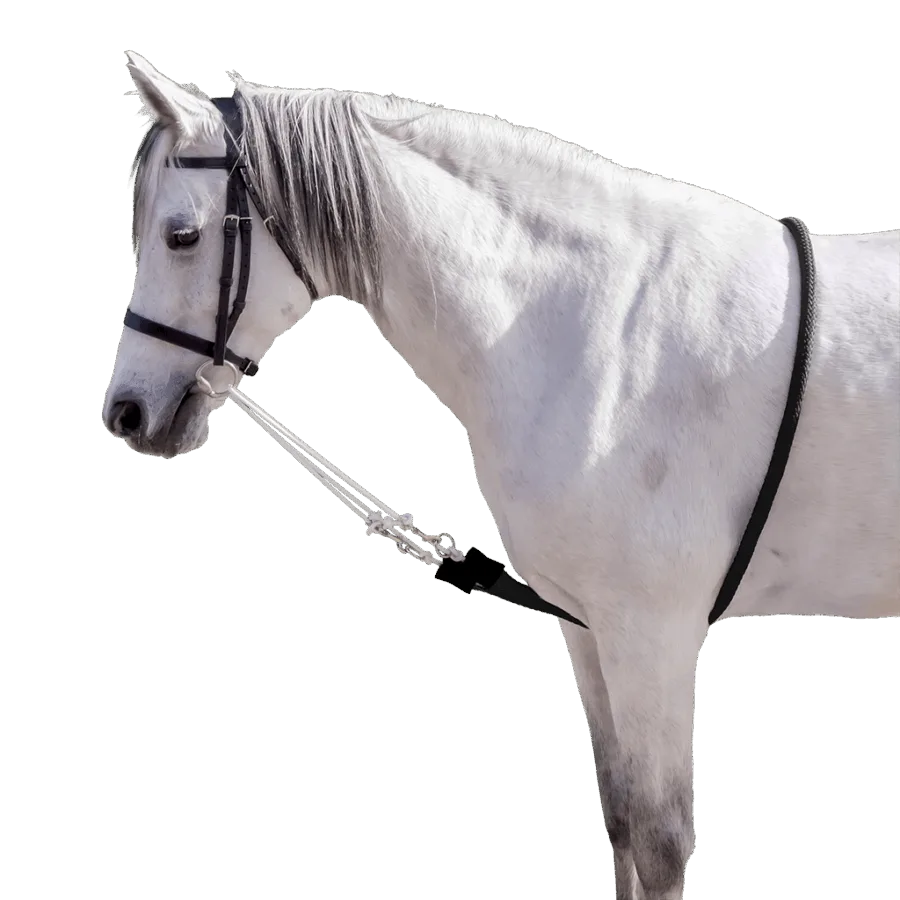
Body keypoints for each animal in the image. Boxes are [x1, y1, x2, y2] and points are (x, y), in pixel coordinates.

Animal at [103, 50, 900, 899]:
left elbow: (660, 841)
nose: (127, 412)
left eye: (180, 236)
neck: (605, 330)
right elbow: (621, 821)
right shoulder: (585, 625)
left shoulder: (652, 632)